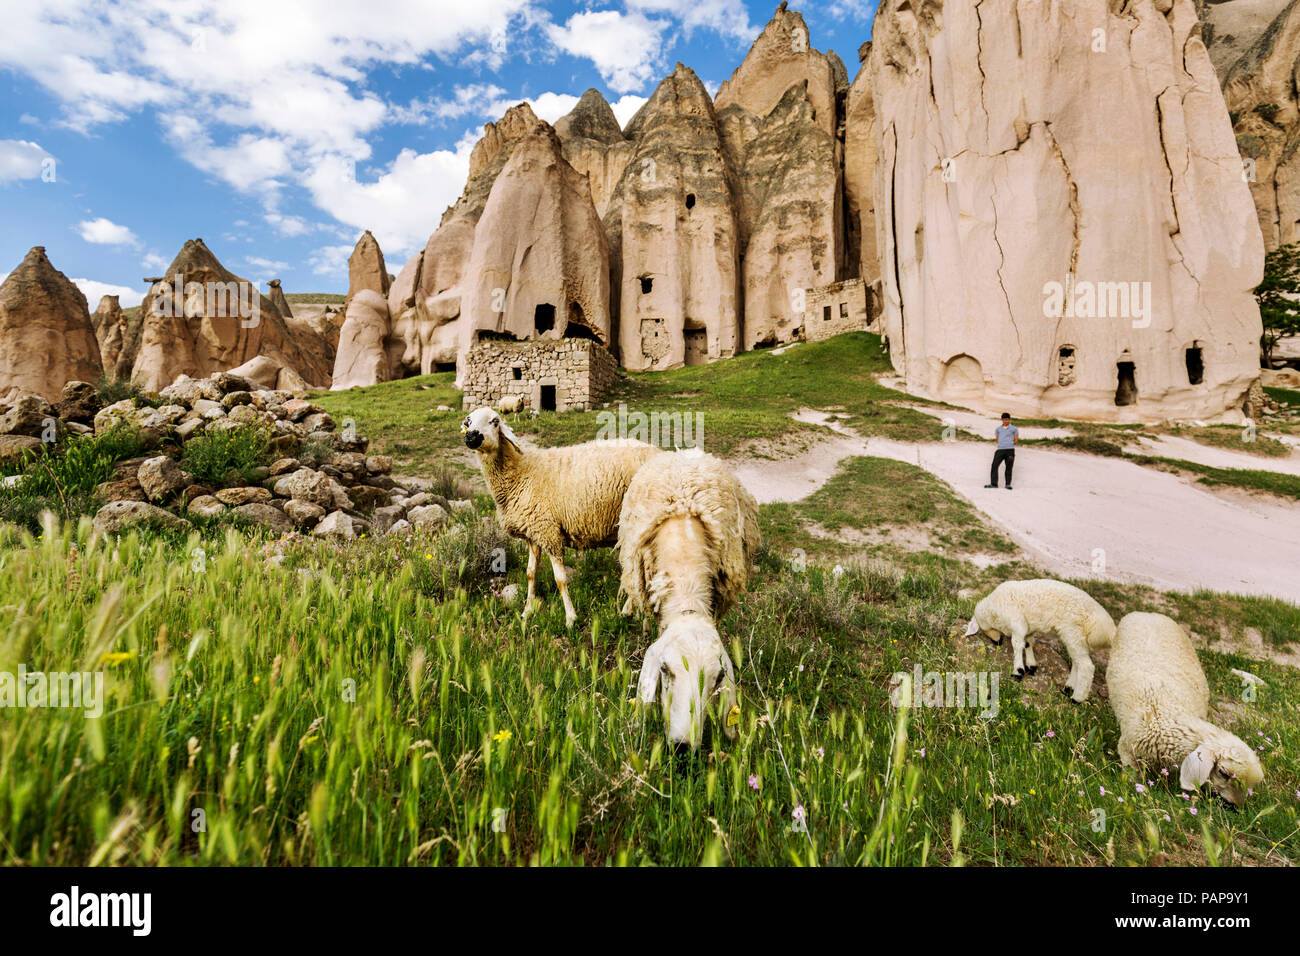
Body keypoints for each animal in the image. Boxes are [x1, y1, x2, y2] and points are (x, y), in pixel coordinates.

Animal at [461, 407, 661, 627]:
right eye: (468, 421)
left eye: (495, 421)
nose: (471, 436)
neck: (521, 472)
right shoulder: (533, 533)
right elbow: (530, 573)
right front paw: (527, 611)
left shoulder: (549, 533)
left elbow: (560, 579)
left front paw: (570, 618)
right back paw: (632, 610)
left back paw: (628, 610)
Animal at [963, 579, 1115, 702]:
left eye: (983, 629)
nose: (997, 642)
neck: (993, 611)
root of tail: (1105, 628)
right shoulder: (1028, 627)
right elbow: (1028, 643)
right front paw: (1031, 665)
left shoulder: (1017, 623)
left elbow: (1017, 645)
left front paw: (1018, 671)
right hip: (1077, 639)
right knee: (1077, 663)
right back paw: (1068, 688)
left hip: (1074, 634)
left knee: (1086, 666)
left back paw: (1077, 698)